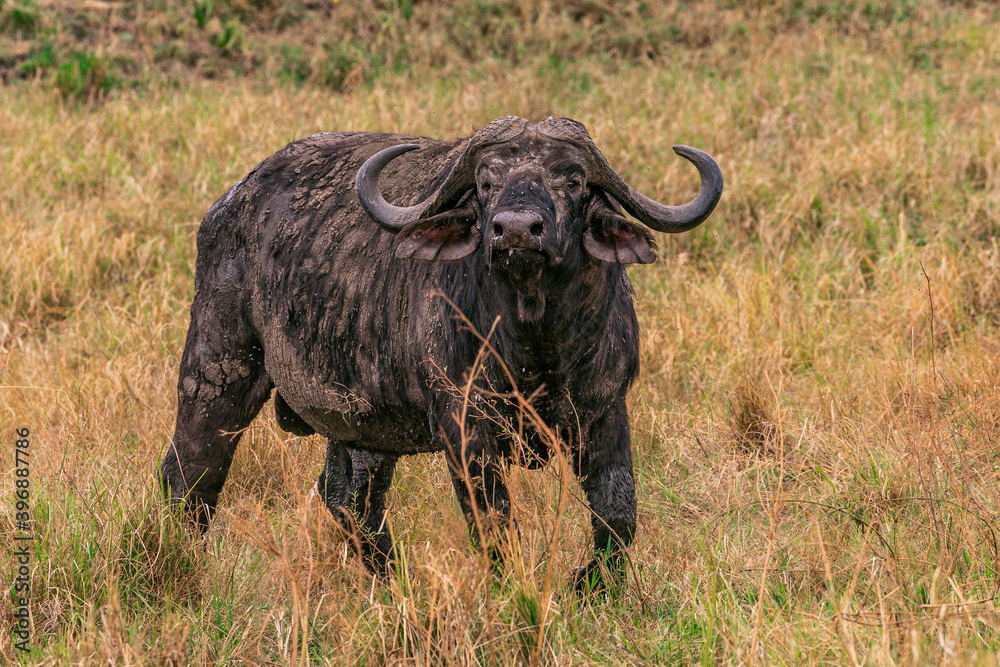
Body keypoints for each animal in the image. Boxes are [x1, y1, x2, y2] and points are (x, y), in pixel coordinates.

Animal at [160, 115, 722, 590]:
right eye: (487, 183)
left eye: (574, 180)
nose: (516, 229)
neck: (535, 343)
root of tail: (231, 203)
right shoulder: (464, 425)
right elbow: (495, 524)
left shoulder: (604, 410)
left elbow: (619, 515)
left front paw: (587, 589)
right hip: (218, 366)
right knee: (191, 474)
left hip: (362, 422)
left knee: (348, 499)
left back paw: (397, 584)